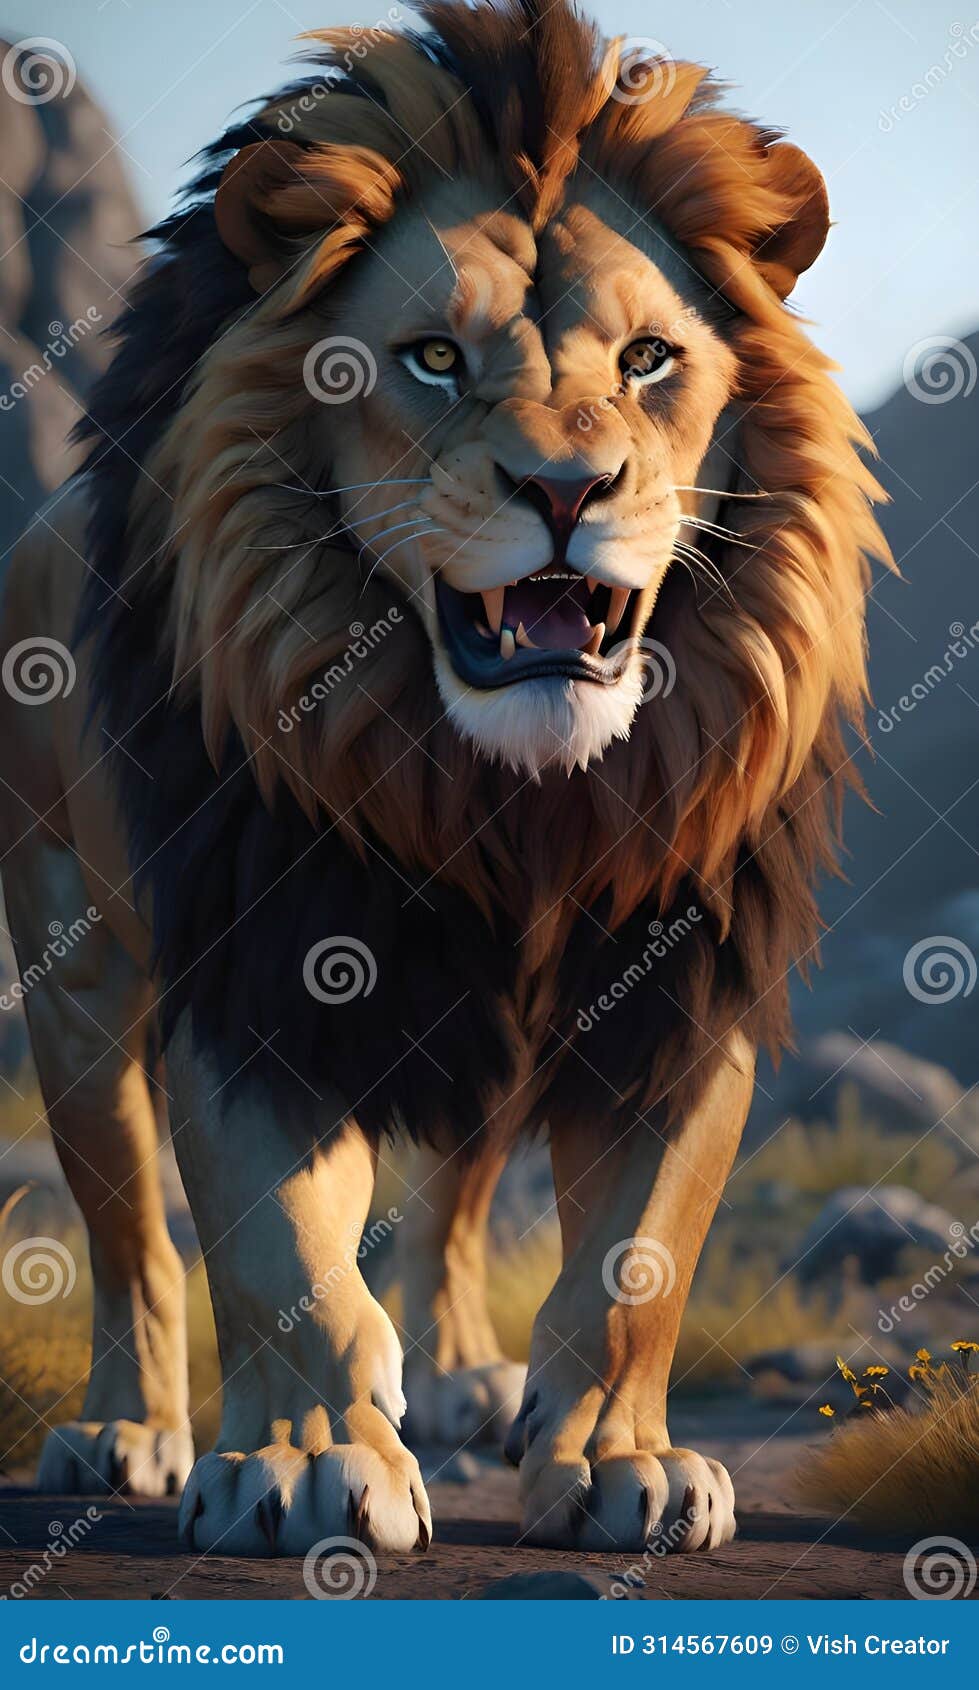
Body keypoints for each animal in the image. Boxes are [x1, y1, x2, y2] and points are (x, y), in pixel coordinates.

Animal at [0, 0, 888, 1558]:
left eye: (647, 360)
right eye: (426, 359)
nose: (565, 489)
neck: (509, 798)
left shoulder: (683, 979)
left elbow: (638, 1258)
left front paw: (617, 1461)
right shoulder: (259, 963)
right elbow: (279, 1247)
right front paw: (303, 1462)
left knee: (456, 1202)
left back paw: (476, 1377)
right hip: (77, 973)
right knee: (124, 1237)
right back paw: (128, 1433)